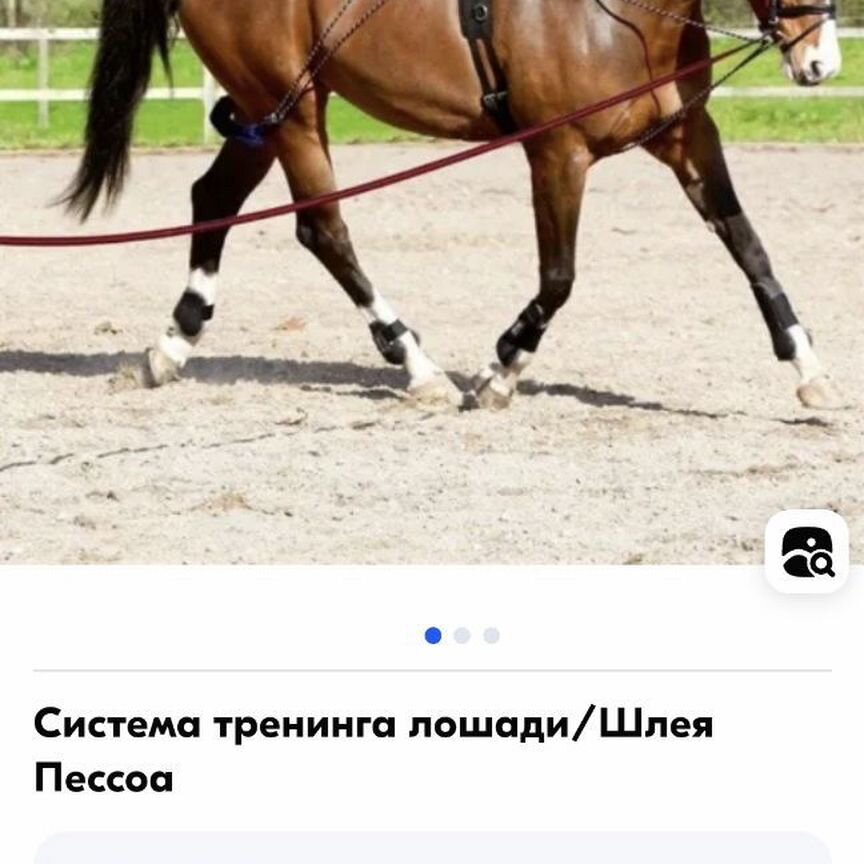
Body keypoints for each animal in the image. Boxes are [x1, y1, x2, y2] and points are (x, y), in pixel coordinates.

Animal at [63, 0, 843, 410]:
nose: (821, 64)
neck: (621, 20)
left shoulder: (688, 137)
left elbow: (749, 247)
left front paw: (808, 369)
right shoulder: (557, 153)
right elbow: (559, 278)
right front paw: (500, 372)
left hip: (267, 113)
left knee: (215, 198)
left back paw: (171, 347)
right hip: (290, 109)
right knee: (324, 230)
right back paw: (418, 366)